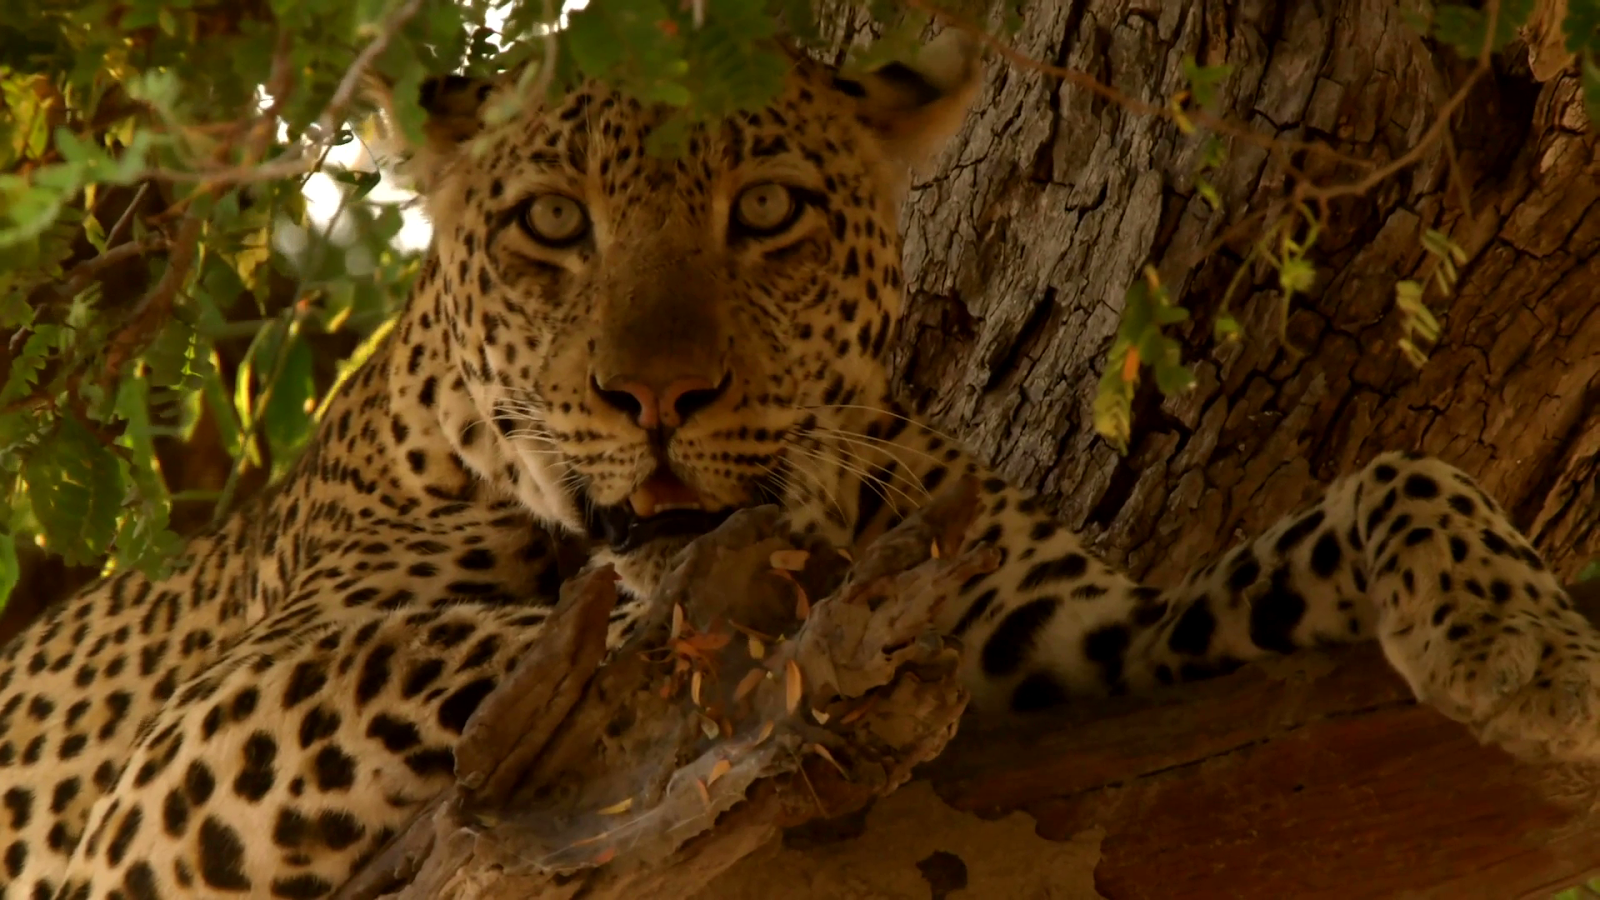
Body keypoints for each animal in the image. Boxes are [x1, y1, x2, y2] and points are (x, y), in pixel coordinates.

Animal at [3, 27, 1598, 900]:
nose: (656, 395)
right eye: (551, 224)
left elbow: (1379, 484)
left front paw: (1522, 639)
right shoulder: (159, 783)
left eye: (764, 210)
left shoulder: (1079, 637)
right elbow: (510, 638)